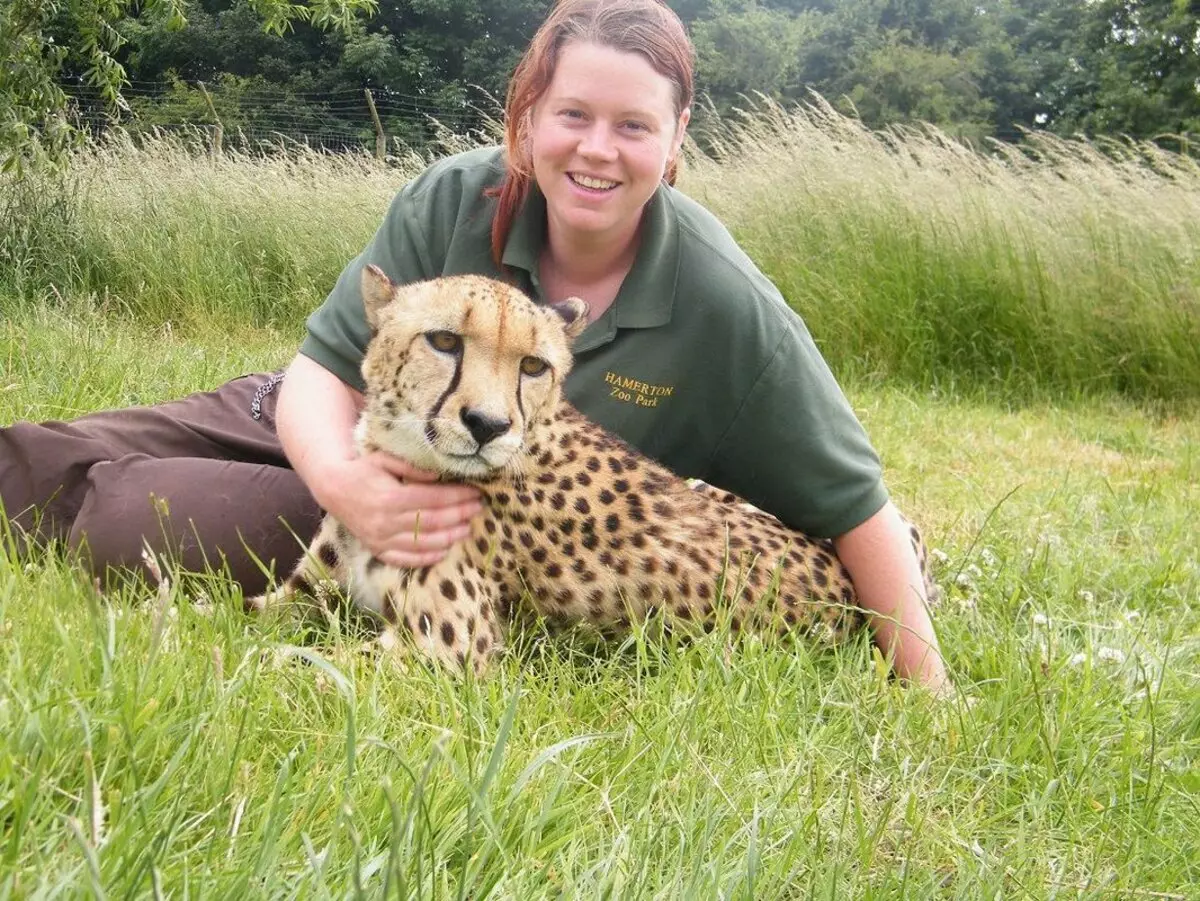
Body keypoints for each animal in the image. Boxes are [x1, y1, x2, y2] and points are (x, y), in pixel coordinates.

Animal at [246, 267, 936, 676]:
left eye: (533, 366)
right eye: (443, 341)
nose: (488, 425)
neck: (404, 458)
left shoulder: (445, 651)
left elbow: (288, 662)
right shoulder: (302, 594)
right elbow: (244, 613)